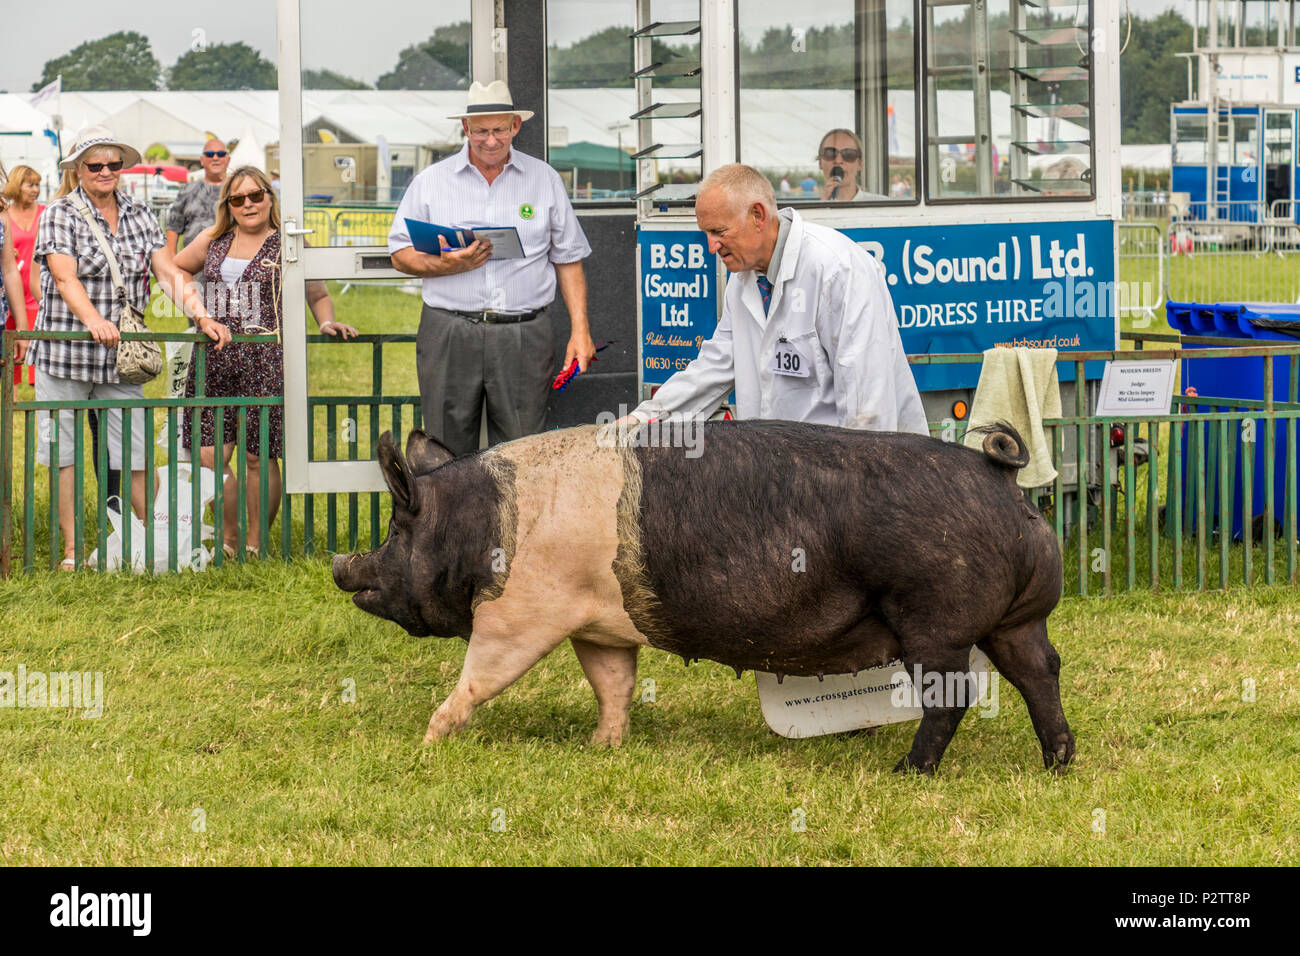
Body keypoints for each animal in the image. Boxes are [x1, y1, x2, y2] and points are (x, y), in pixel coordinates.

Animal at [332, 420, 1074, 774]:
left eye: (395, 529)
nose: (341, 564)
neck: (481, 527)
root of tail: (1000, 477)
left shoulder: (519, 615)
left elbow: (481, 676)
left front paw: (429, 740)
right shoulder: (599, 624)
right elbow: (613, 683)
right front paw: (603, 748)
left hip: (934, 619)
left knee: (953, 697)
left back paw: (906, 772)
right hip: (1019, 618)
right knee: (1041, 672)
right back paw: (1059, 764)